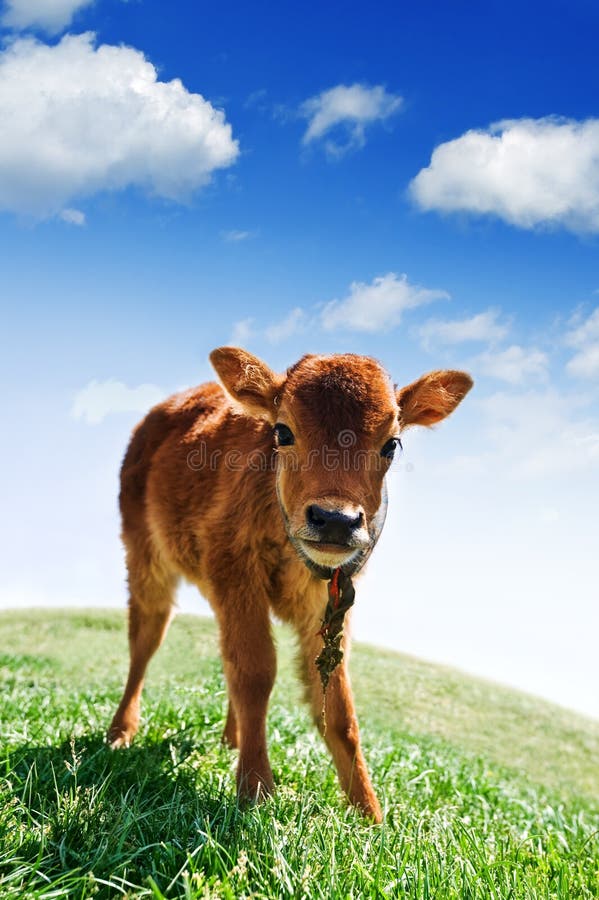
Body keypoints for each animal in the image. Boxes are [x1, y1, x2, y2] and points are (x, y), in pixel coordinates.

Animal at [108, 347, 472, 822]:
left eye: (391, 444)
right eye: (283, 431)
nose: (335, 520)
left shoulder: (328, 609)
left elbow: (338, 708)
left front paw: (370, 814)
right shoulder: (237, 581)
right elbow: (255, 673)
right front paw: (256, 789)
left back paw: (231, 739)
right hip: (146, 561)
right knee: (145, 640)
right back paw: (120, 733)